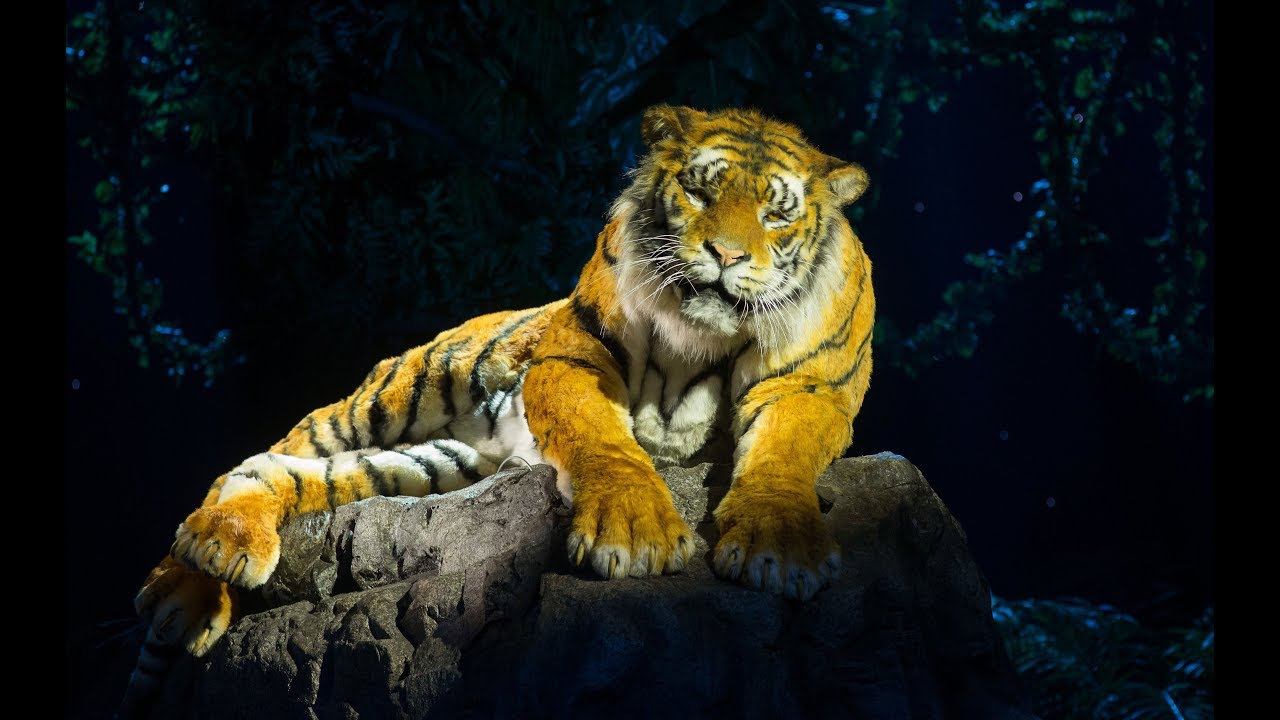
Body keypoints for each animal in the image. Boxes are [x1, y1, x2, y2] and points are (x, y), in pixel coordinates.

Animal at [123, 104, 875, 712]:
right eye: (698, 189)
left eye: (776, 211)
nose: (724, 253)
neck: (702, 338)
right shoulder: (574, 355)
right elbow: (608, 444)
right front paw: (635, 534)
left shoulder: (807, 388)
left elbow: (781, 459)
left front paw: (779, 548)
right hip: (397, 393)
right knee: (267, 451)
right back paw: (188, 583)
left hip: (435, 462)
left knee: (277, 469)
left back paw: (220, 553)